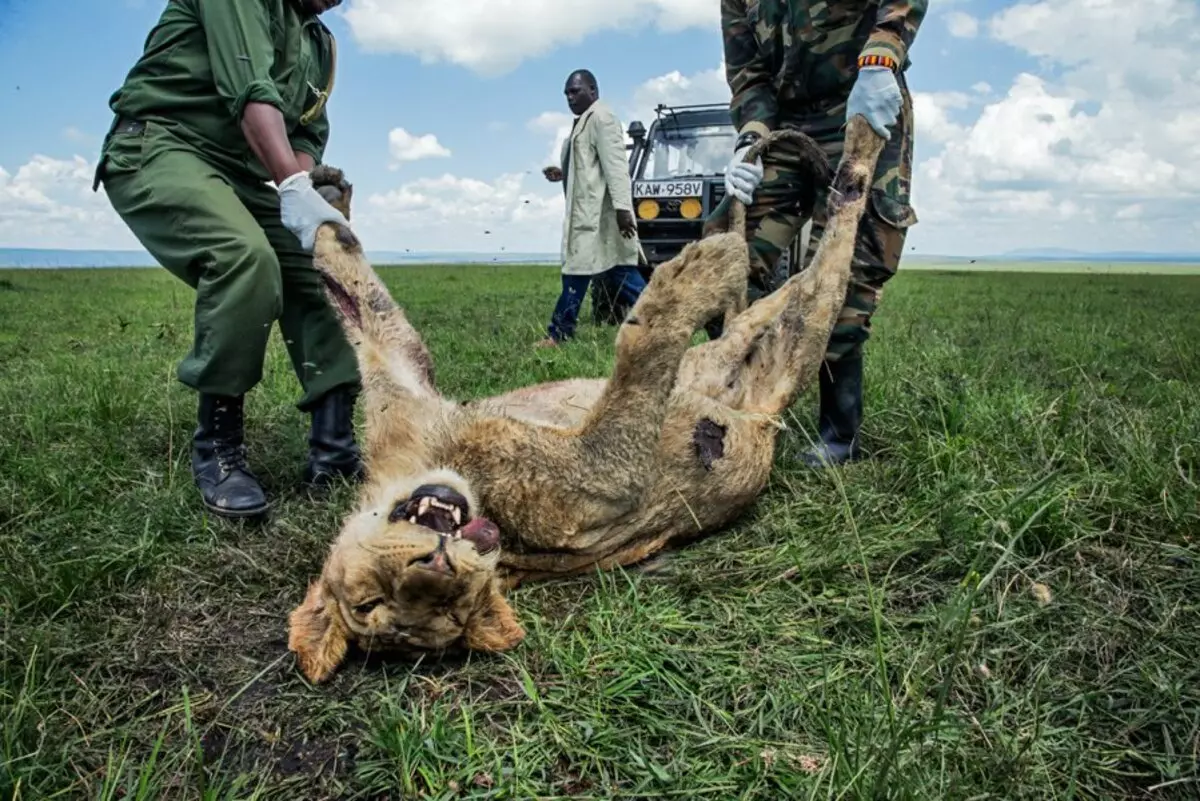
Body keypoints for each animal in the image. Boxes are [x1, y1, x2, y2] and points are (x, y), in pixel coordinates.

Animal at [285, 115, 888, 685]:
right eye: (443, 610)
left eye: (370, 596)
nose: (440, 564)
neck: (435, 464)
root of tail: (756, 410)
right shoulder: (600, 485)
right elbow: (641, 348)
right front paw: (690, 274)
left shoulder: (401, 395)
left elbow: (361, 296)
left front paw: (321, 200)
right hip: (795, 340)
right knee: (831, 254)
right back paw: (850, 148)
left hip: (729, 345)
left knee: (759, 300)